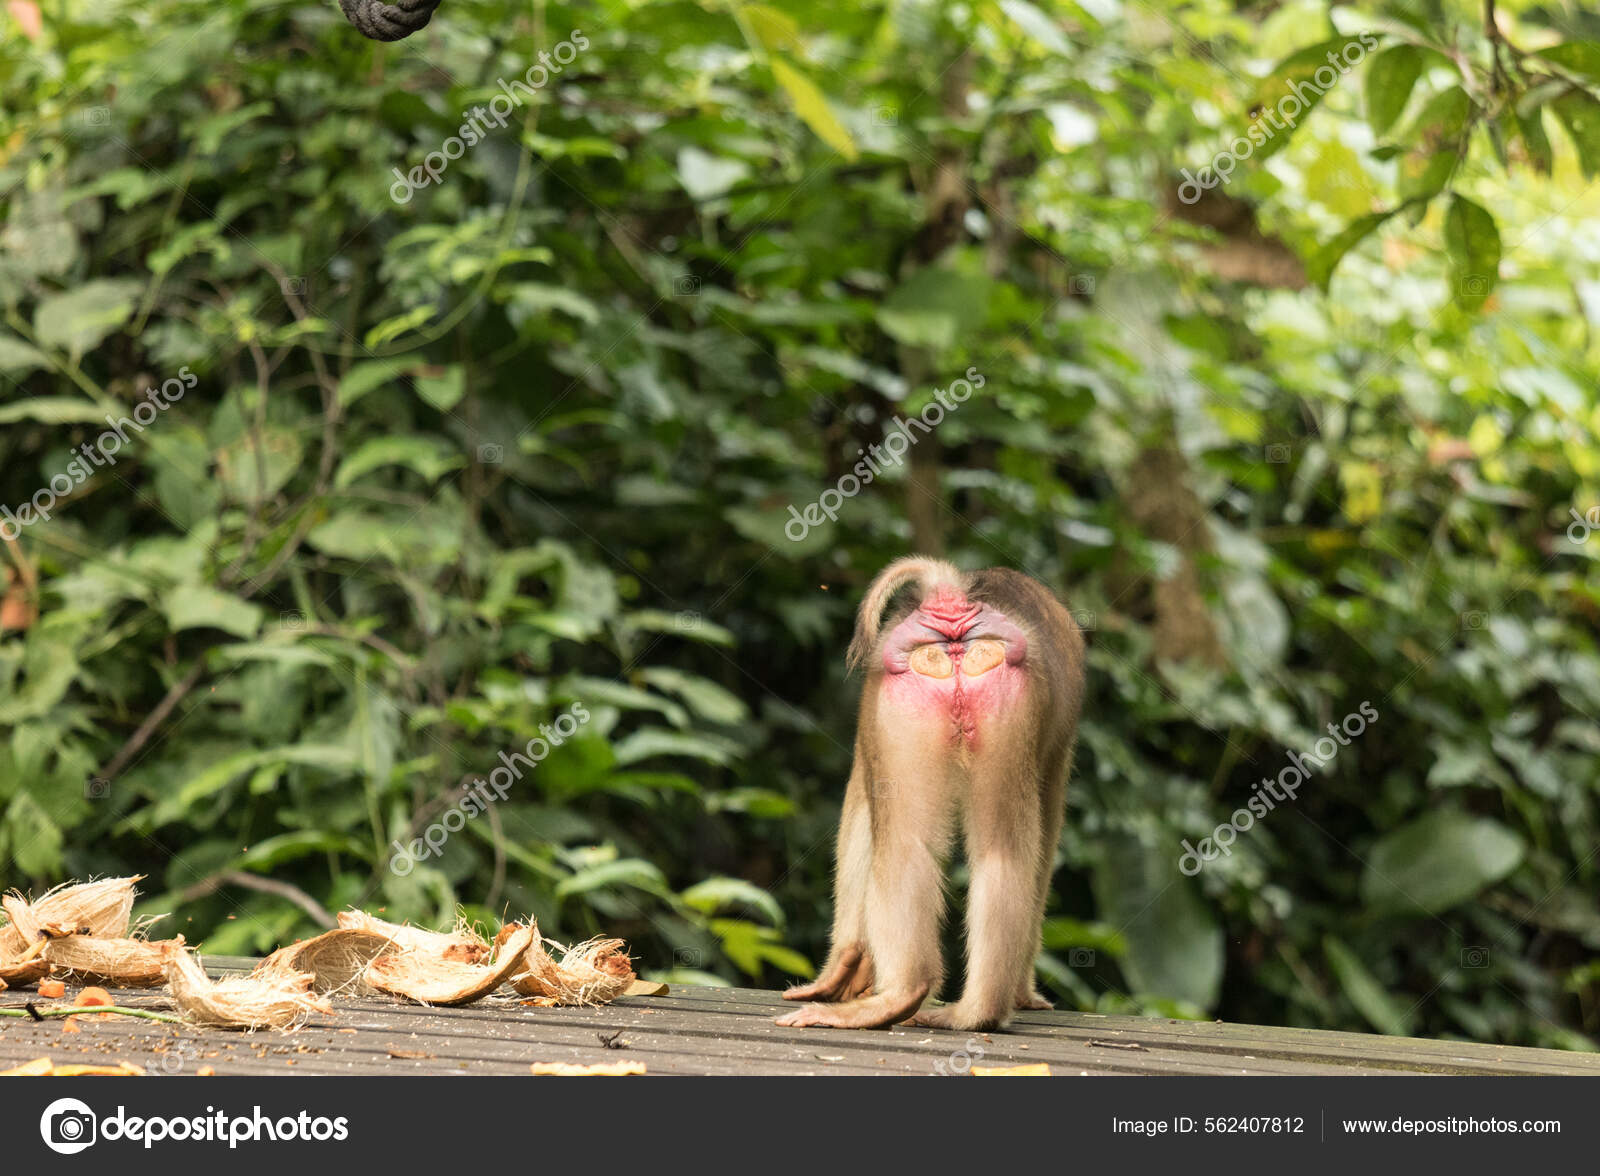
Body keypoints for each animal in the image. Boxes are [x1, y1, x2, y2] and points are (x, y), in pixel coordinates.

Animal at [776, 556, 1085, 1031]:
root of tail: (950, 601)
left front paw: (845, 967)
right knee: (993, 856)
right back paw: (967, 1009)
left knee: (908, 845)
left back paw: (906, 994)